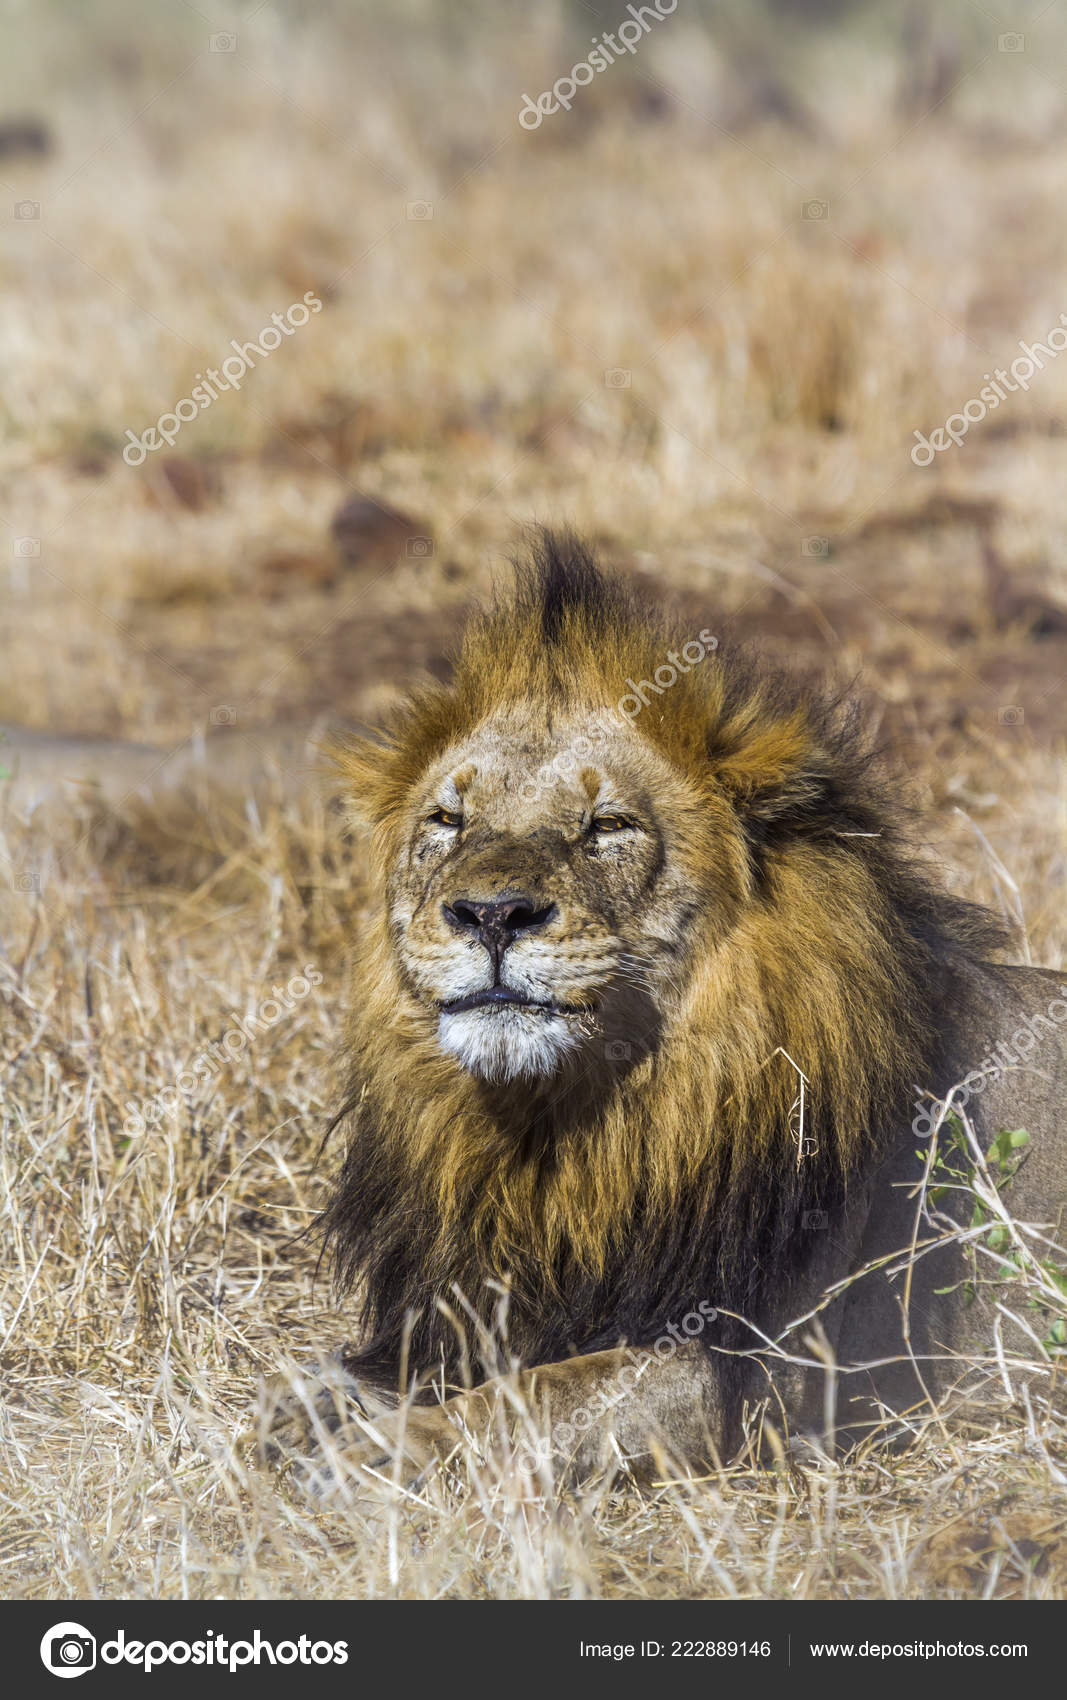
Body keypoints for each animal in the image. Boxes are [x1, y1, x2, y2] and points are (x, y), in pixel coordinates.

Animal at [261, 530, 1067, 1487]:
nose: (491, 914)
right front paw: (298, 1412)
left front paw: (380, 1450)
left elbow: (531, 1399)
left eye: (607, 826)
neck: (564, 1130)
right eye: (447, 821)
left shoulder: (747, 1376)